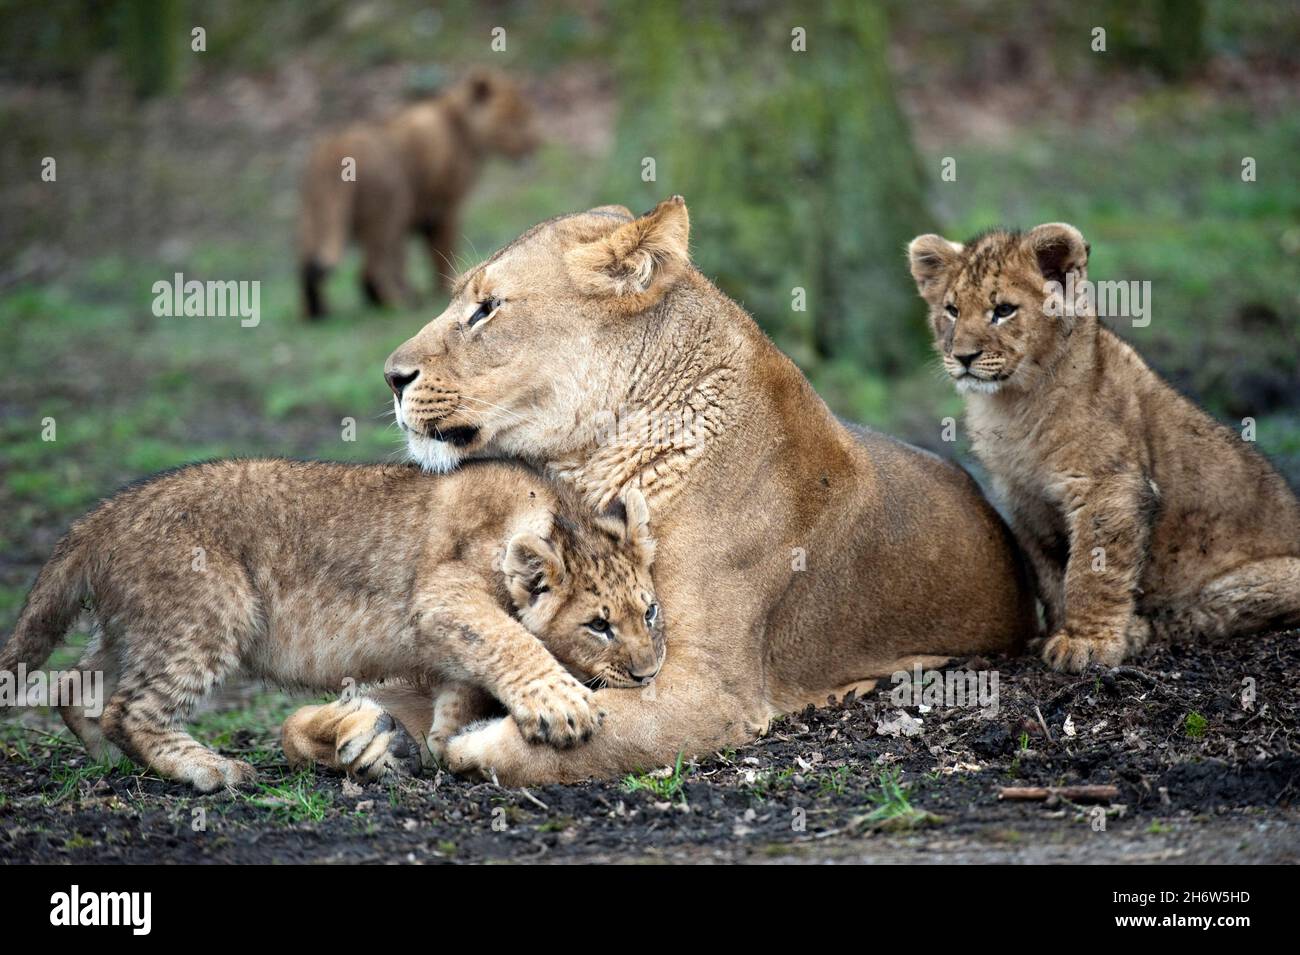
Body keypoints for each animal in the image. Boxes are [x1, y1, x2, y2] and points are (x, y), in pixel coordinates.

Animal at [0, 459, 661, 791]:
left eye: (649, 611)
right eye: (598, 625)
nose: (649, 673)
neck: (549, 515)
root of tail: (101, 518)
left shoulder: (448, 632)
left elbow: (466, 682)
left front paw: (445, 737)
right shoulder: (440, 596)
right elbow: (511, 640)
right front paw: (562, 708)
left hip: (134, 627)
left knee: (74, 684)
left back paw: (104, 760)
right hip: (205, 614)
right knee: (131, 710)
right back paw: (211, 770)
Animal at [279, 196, 1037, 785]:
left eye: (487, 309)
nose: (390, 376)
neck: (584, 465)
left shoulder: (708, 688)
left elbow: (590, 734)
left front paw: (471, 739)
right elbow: (295, 722)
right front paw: (362, 732)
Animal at [298, 70, 539, 319]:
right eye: (515, 117)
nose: (536, 143)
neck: (457, 122)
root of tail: (335, 148)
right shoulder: (444, 209)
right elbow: (441, 251)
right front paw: (443, 291)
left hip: (313, 214)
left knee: (308, 262)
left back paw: (317, 311)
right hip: (389, 207)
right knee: (376, 264)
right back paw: (397, 302)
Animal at [908, 223, 1300, 673]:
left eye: (1003, 310)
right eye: (952, 310)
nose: (963, 357)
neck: (1012, 404)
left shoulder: (1111, 486)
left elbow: (1092, 571)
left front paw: (1086, 642)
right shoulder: (1026, 500)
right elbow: (1051, 574)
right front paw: (1056, 630)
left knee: (1200, 614)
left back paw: (1136, 631)